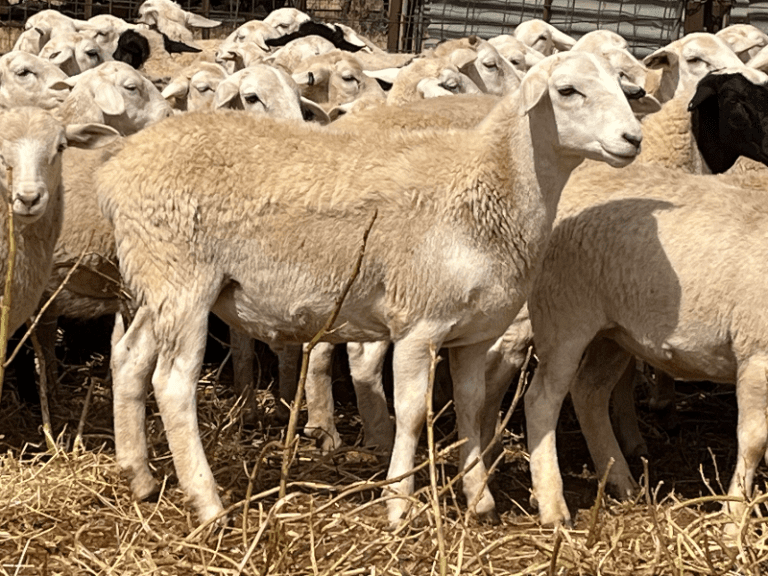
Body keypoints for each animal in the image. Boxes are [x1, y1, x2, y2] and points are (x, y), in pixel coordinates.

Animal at [95, 50, 642, 525]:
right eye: (567, 90)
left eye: (620, 83)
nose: (633, 138)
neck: (489, 184)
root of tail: (120, 168)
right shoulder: (420, 323)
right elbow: (412, 412)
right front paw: (399, 504)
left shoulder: (475, 332)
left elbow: (470, 404)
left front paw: (479, 499)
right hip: (184, 277)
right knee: (173, 382)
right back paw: (207, 503)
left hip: (157, 280)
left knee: (129, 358)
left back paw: (139, 477)